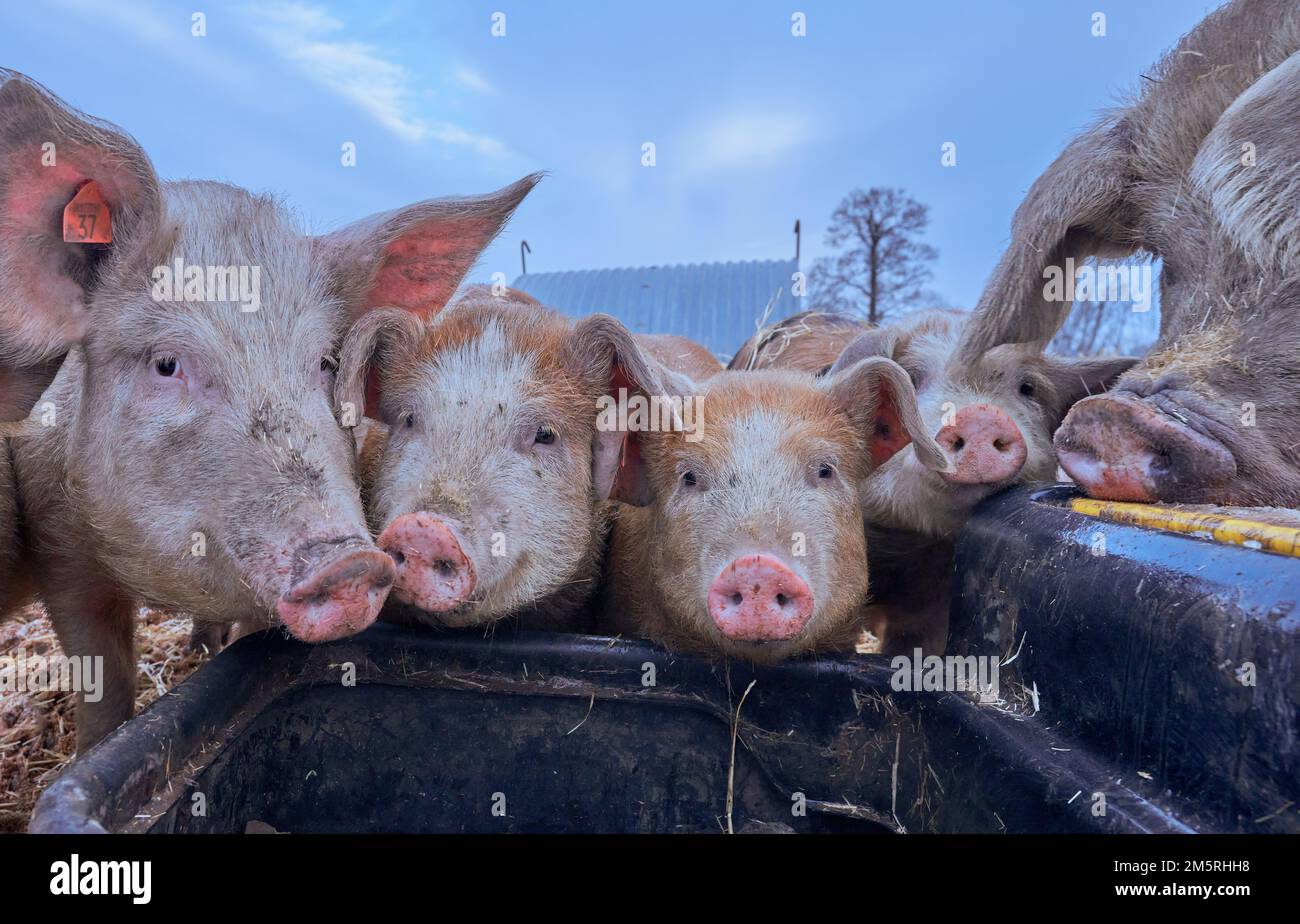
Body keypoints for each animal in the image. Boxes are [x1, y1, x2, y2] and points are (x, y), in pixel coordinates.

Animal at [0, 70, 539, 748]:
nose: (351, 561)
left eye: (326, 363)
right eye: (167, 364)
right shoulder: (60, 548)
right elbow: (105, 687)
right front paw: (95, 746)